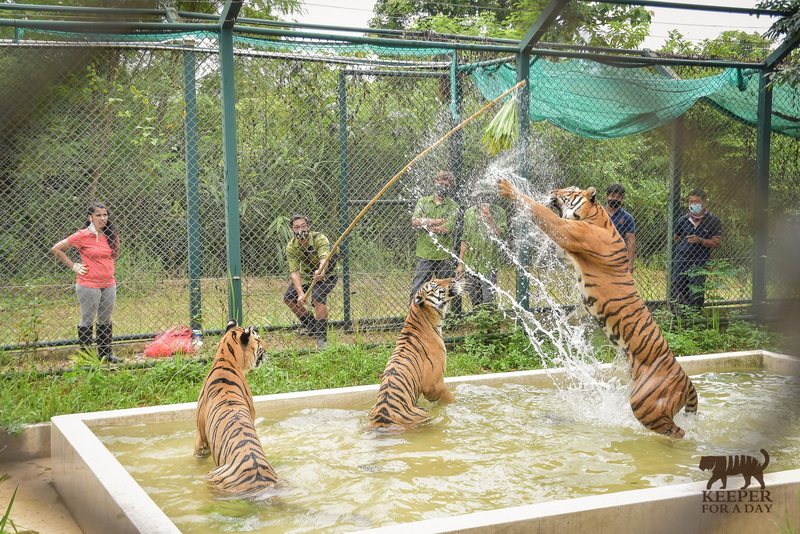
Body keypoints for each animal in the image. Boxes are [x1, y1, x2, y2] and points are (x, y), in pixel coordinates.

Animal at [497, 178, 698, 438]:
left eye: (569, 191)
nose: (553, 191)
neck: (596, 215)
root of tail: (686, 380)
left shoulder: (567, 232)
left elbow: (539, 211)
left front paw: (508, 188)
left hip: (646, 405)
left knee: (676, 432)